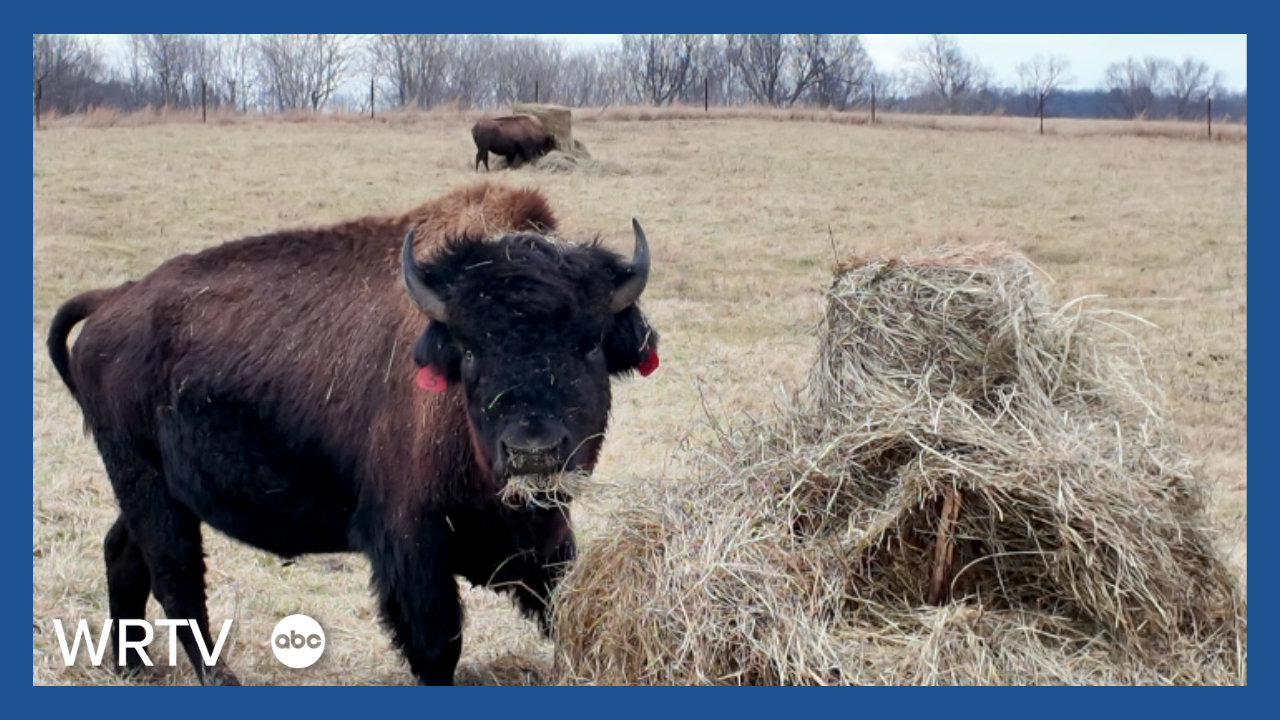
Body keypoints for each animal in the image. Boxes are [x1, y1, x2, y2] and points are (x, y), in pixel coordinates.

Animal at [46, 182, 661, 685]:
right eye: (469, 350)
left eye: (588, 343)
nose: (532, 451)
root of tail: (112, 301)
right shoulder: (411, 547)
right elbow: (437, 646)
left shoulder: (541, 535)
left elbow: (561, 603)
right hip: (144, 480)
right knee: (176, 578)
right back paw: (217, 678)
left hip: (155, 489)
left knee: (124, 553)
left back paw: (132, 667)